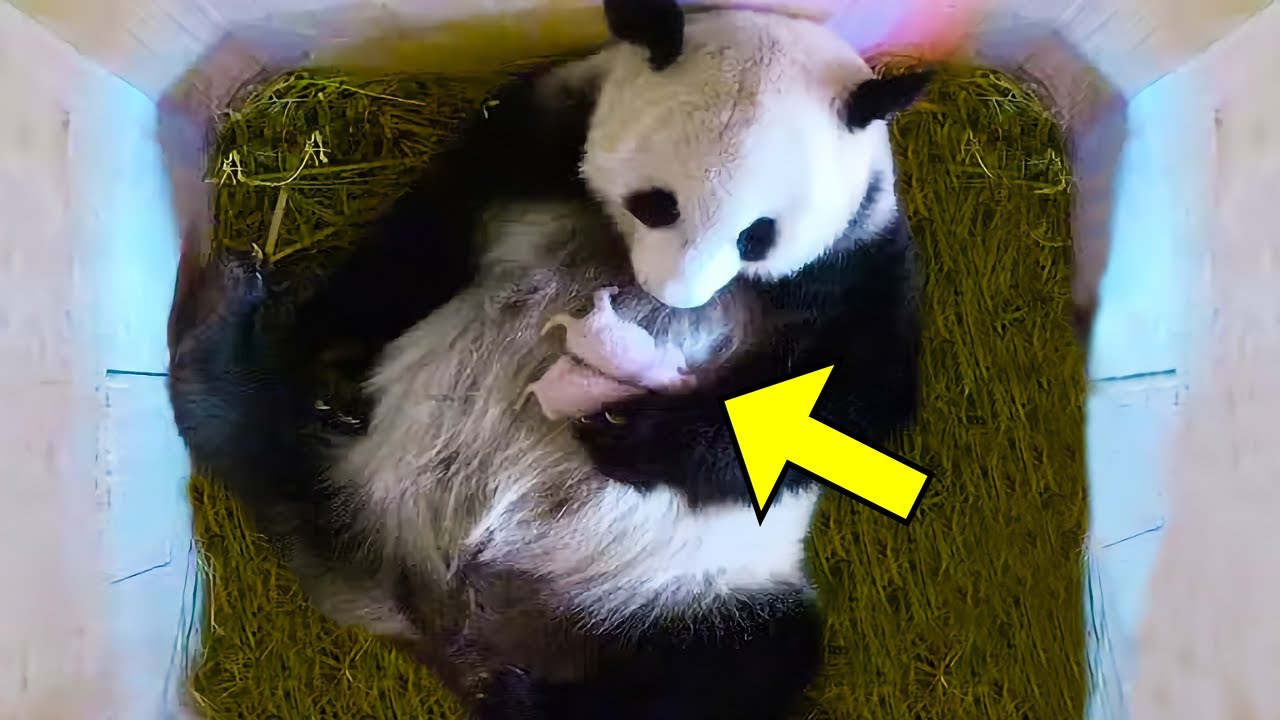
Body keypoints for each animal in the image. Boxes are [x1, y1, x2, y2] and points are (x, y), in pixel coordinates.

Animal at [168, 0, 931, 717]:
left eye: (758, 235)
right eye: (657, 204)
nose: (672, 295)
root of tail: (433, 612)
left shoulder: (857, 259)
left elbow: (859, 396)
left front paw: (632, 436)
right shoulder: (538, 133)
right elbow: (424, 237)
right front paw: (330, 346)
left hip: (695, 592)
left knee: (739, 669)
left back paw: (527, 698)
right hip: (366, 464)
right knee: (268, 445)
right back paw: (226, 342)